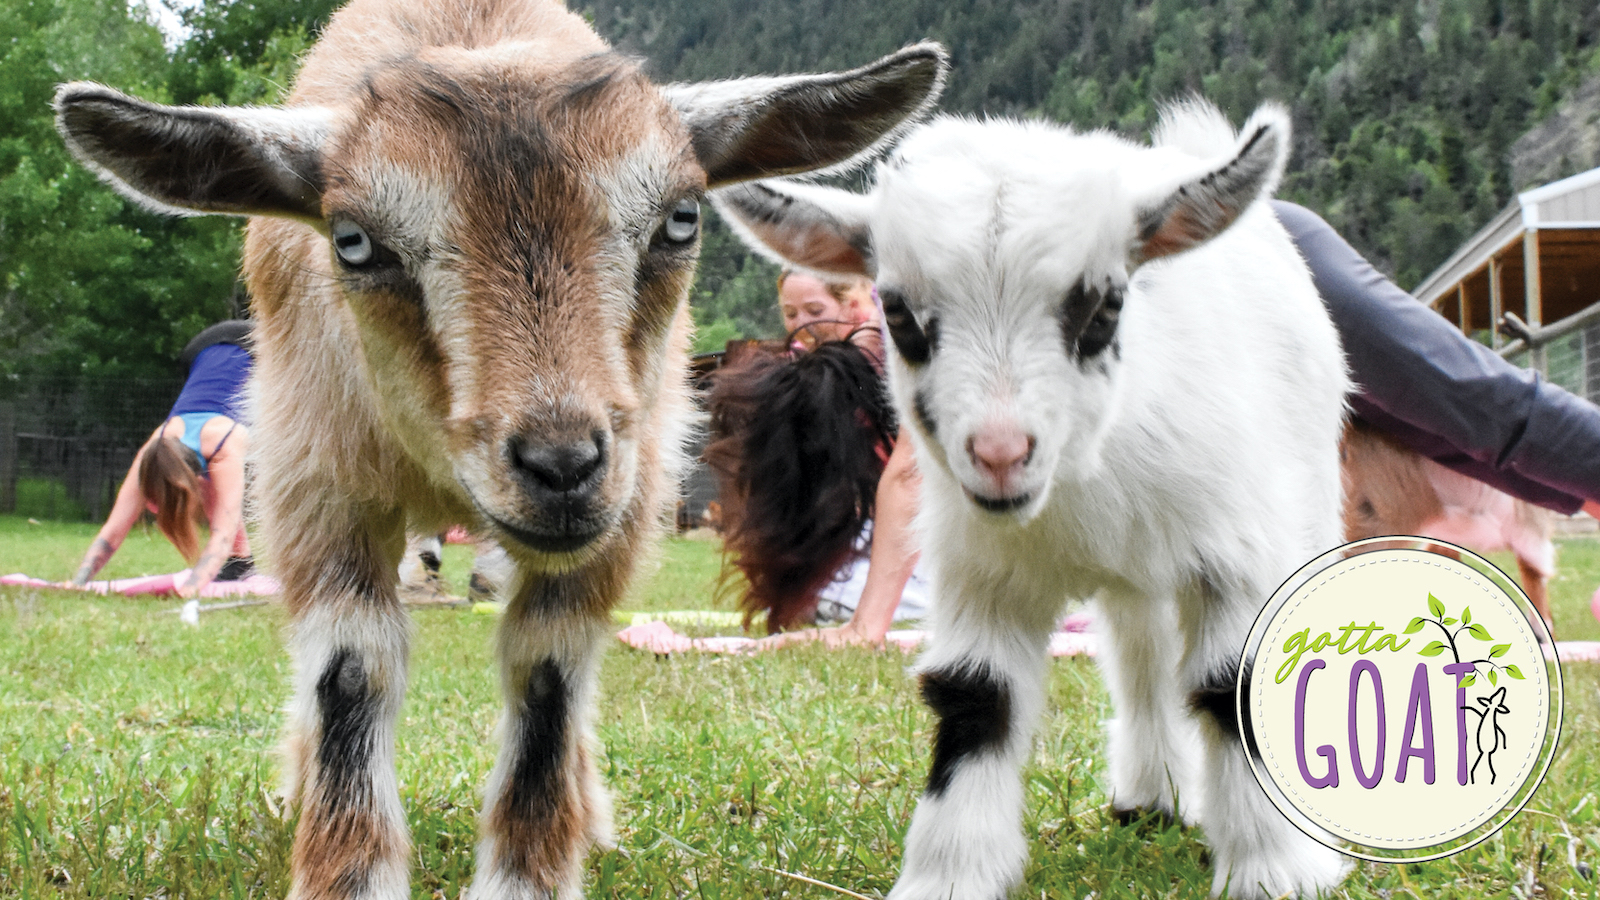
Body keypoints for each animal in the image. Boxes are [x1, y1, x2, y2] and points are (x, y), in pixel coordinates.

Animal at [53, 1, 946, 896]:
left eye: (680, 220)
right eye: (353, 242)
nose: (561, 467)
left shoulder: (627, 493)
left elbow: (548, 668)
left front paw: (531, 870)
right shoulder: (314, 473)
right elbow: (350, 668)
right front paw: (349, 871)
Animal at [715, 102, 1353, 898]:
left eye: (1106, 306)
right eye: (898, 314)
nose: (999, 454)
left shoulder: (1234, 545)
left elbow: (1230, 682)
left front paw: (1278, 870)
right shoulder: (981, 569)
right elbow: (975, 696)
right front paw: (949, 874)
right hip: (1136, 577)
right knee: (1140, 654)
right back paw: (1151, 801)